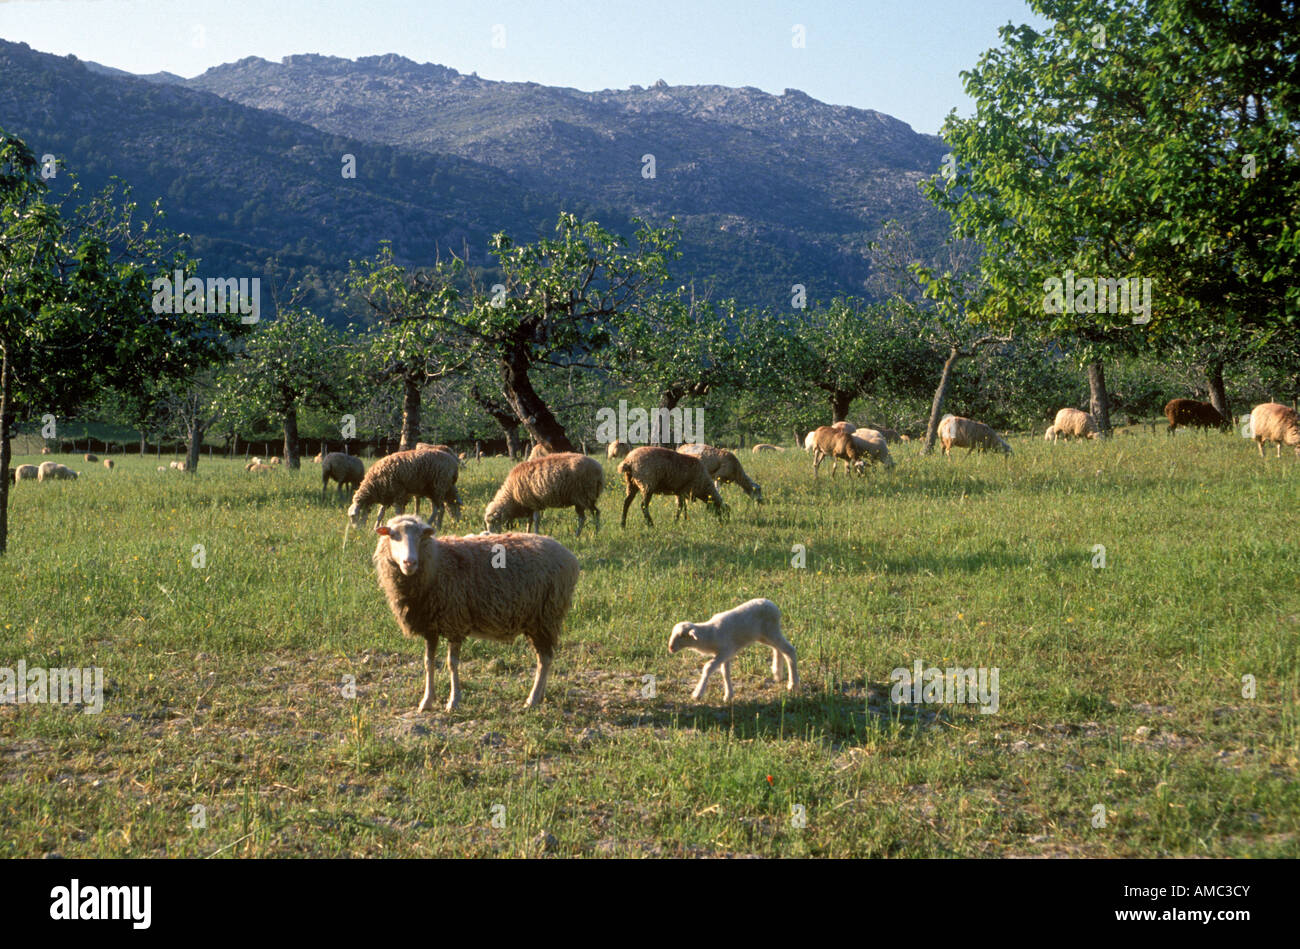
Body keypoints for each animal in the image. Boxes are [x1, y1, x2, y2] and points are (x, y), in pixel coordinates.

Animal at [373, 513, 580, 711]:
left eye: (420, 537)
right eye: (393, 535)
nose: (410, 562)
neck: (437, 564)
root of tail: (569, 556)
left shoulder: (455, 621)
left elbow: (452, 663)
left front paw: (453, 701)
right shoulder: (430, 627)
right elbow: (428, 663)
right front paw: (426, 701)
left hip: (545, 616)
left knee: (545, 659)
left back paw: (532, 699)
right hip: (540, 619)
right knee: (545, 658)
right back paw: (540, 696)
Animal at [668, 598, 798, 701]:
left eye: (682, 635)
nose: (670, 648)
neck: (710, 633)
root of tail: (773, 606)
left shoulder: (725, 651)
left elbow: (708, 667)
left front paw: (697, 694)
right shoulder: (724, 655)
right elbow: (725, 673)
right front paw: (728, 695)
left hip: (771, 631)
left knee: (789, 650)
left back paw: (793, 684)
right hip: (764, 635)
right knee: (778, 648)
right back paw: (777, 673)